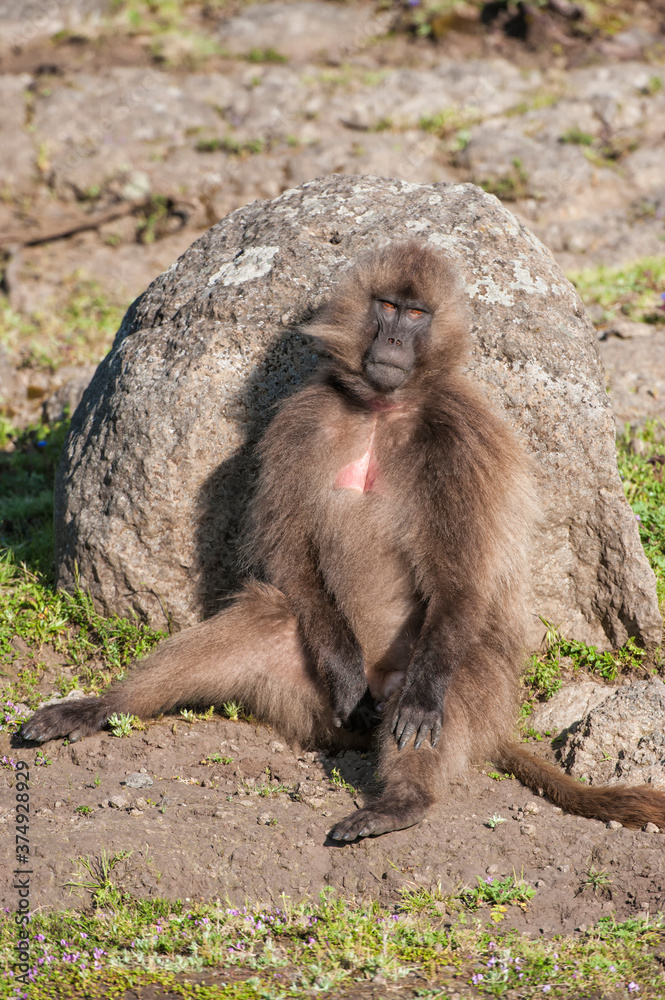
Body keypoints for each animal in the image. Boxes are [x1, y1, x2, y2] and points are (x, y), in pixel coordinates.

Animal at [21, 241, 665, 839]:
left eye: (417, 313)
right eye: (387, 306)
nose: (394, 342)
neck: (382, 409)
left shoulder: (461, 438)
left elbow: (459, 580)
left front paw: (422, 713)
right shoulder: (302, 418)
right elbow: (289, 551)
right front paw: (345, 669)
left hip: (462, 679)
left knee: (436, 691)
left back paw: (402, 801)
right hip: (317, 698)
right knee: (268, 617)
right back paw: (100, 708)